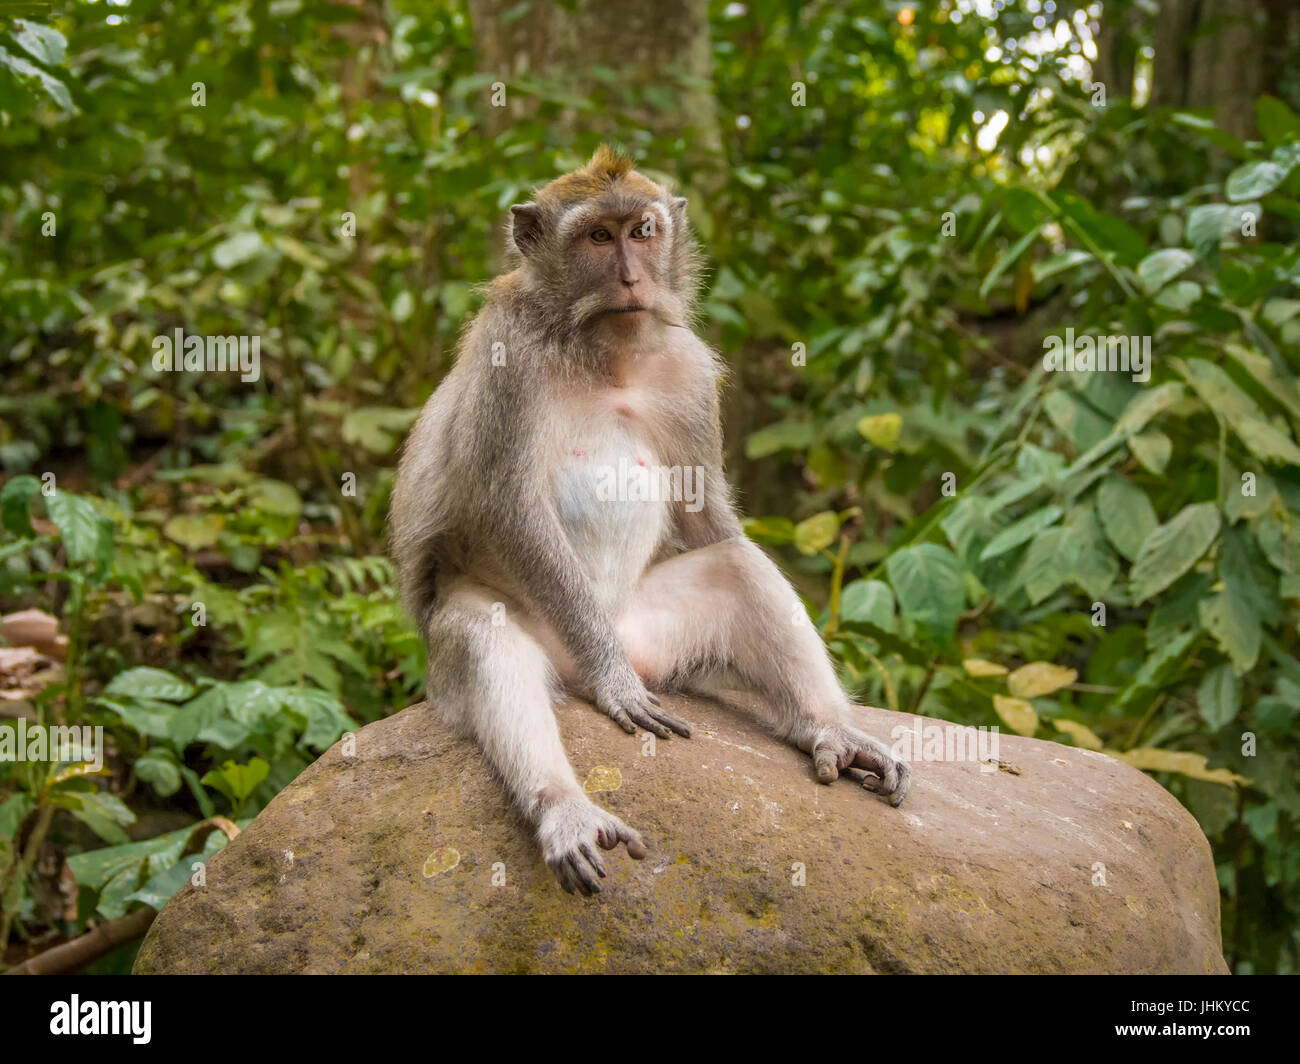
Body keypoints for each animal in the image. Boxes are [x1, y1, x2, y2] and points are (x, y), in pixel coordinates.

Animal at [390, 145, 910, 896]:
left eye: (642, 232)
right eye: (596, 238)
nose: (632, 277)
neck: (605, 356)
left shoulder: (689, 372)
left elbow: (709, 521)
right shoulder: (506, 357)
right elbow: (509, 512)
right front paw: (610, 683)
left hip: (653, 639)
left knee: (738, 568)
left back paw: (830, 731)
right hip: (518, 650)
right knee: (485, 637)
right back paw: (567, 801)